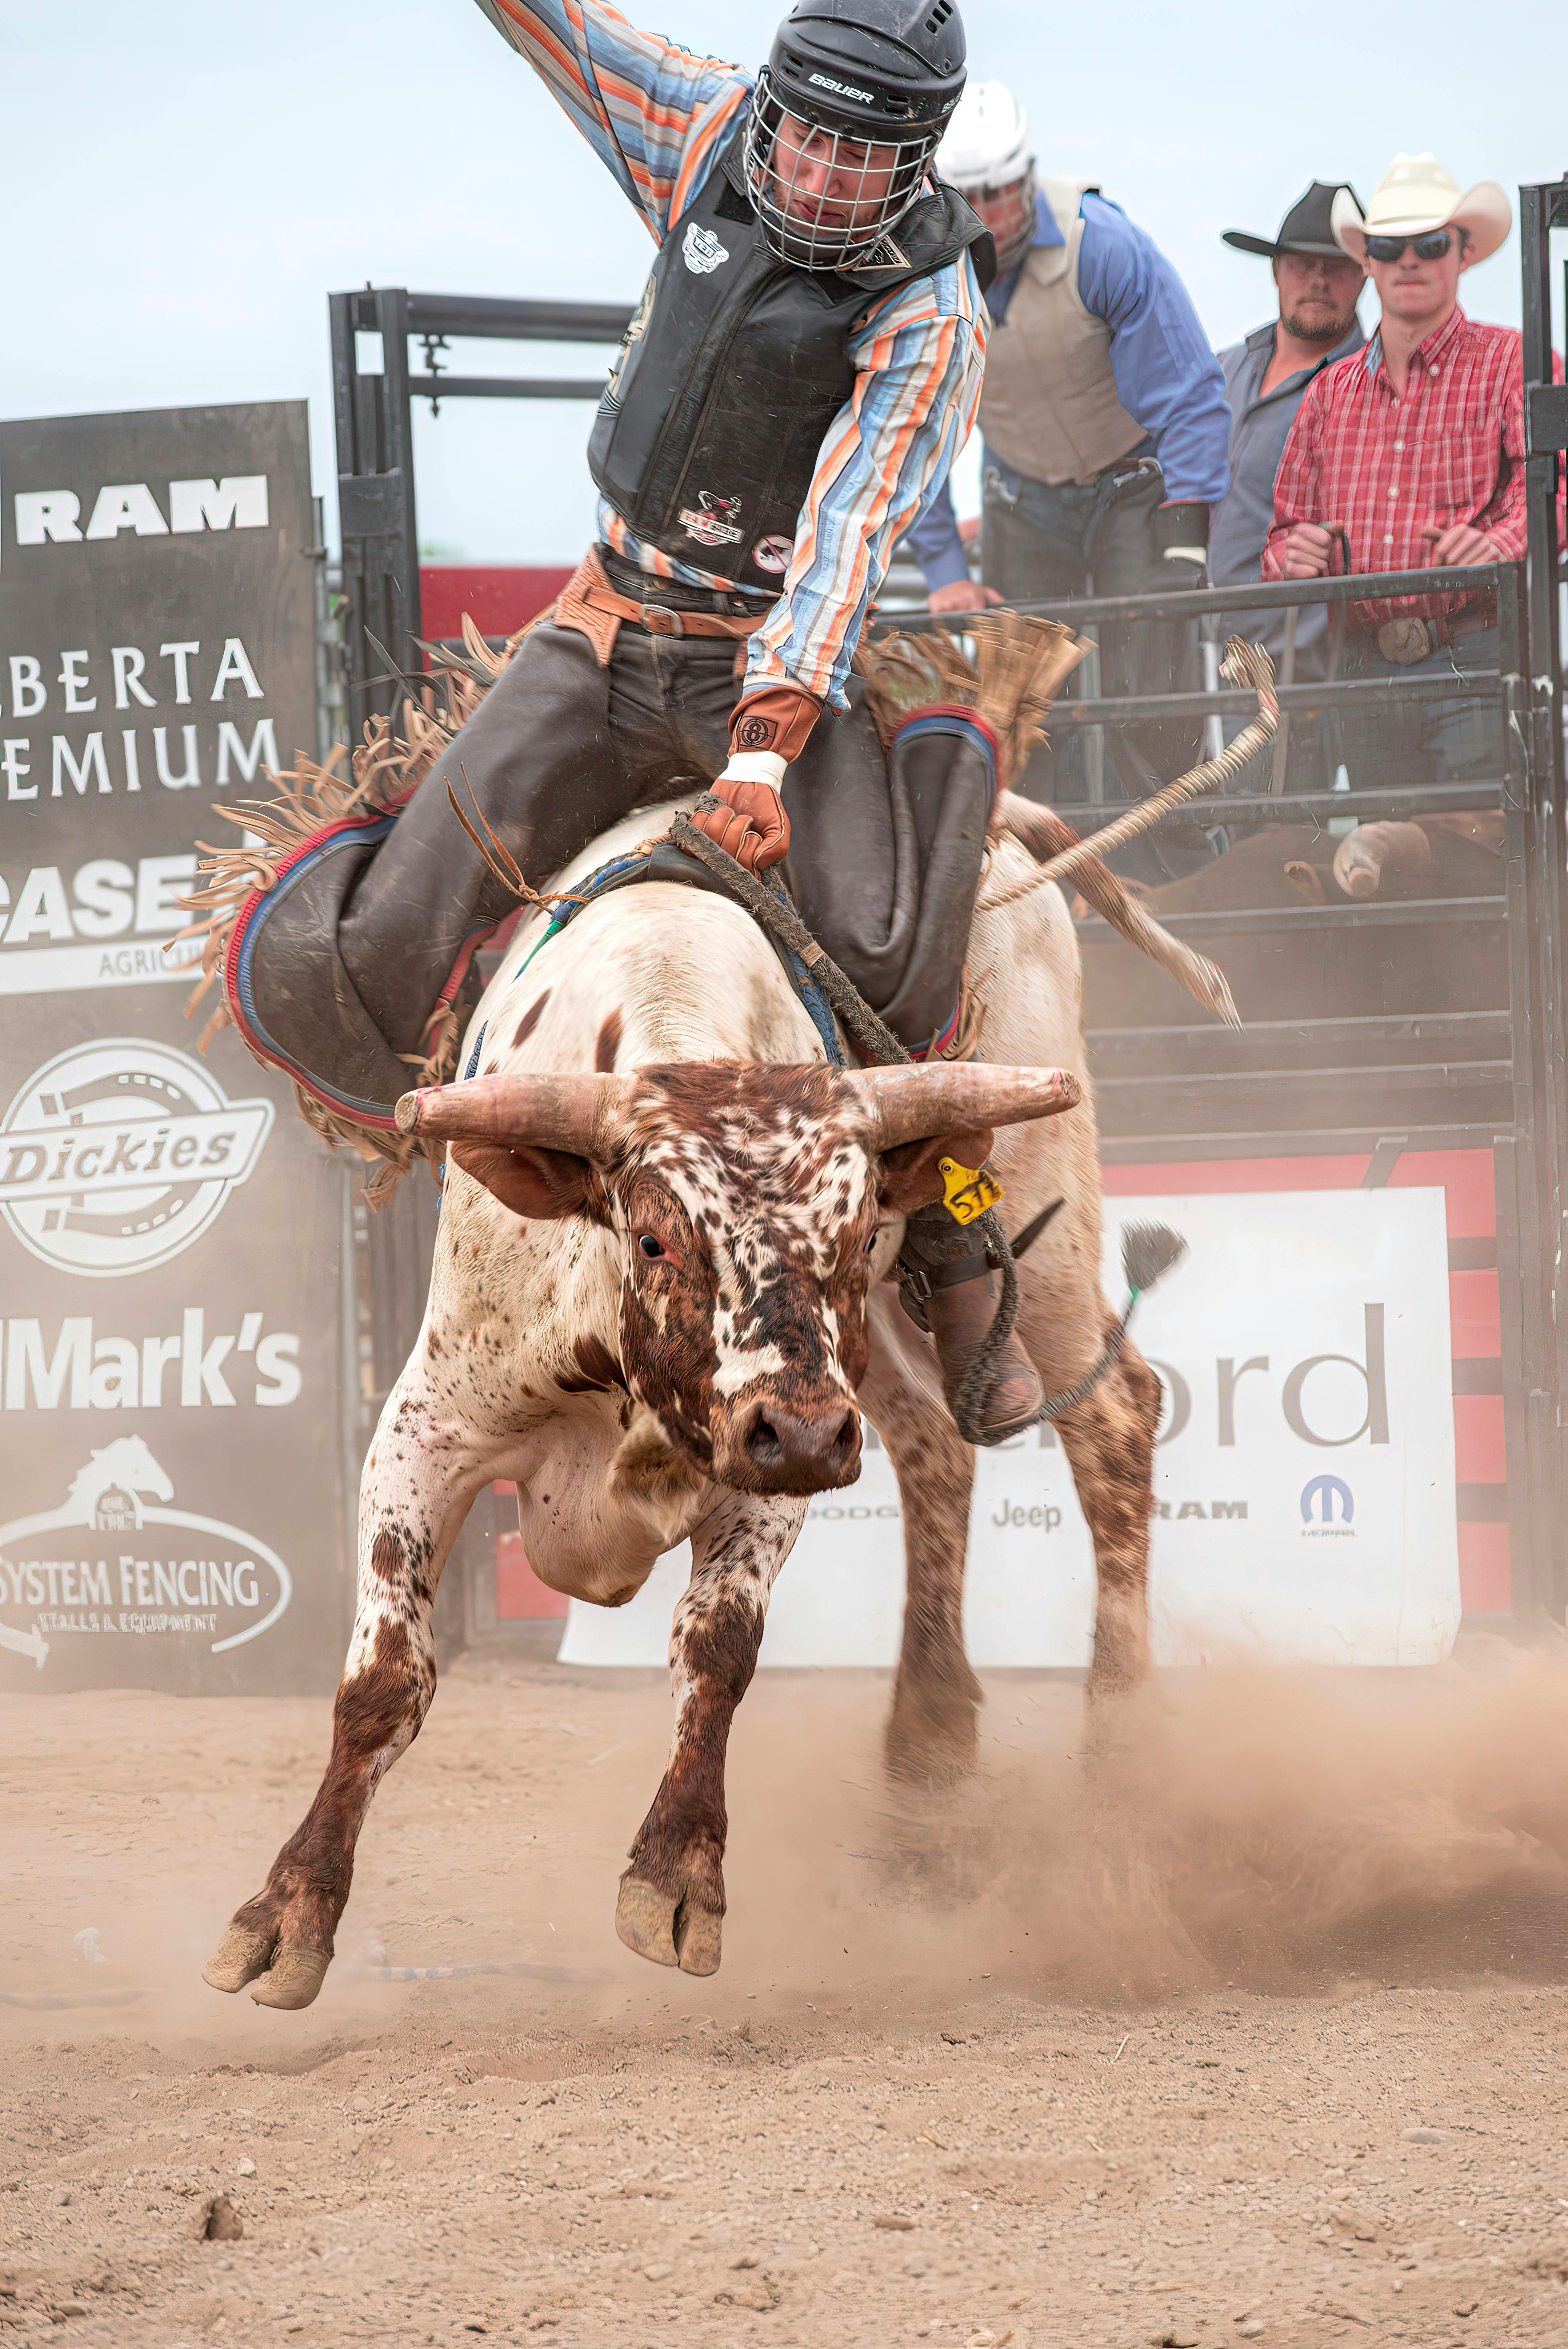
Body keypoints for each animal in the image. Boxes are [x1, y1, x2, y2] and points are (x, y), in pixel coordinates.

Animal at [203, 788, 1184, 2010]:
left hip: (1035, 1219)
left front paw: (676, 1879)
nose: (805, 1433)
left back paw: (1120, 1775)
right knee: (935, 1449)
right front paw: (286, 1914)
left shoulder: (769, 1459)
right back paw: (924, 1762)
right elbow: (386, 1676)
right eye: (658, 1237)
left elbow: (715, 1650)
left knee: (1111, 1420)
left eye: (851, 1233)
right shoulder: (428, 1426)